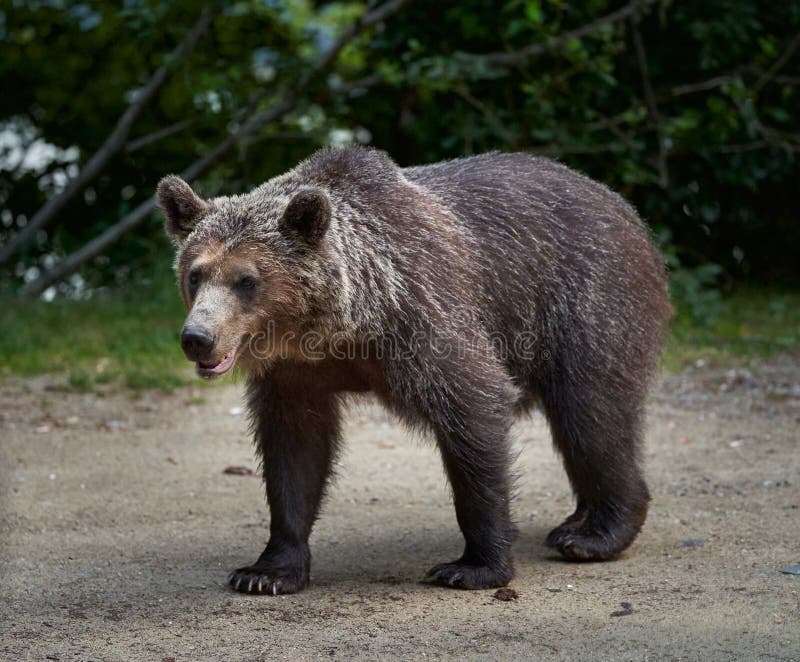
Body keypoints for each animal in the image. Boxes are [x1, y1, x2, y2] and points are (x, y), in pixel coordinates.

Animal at [157, 146, 672, 595]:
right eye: (195, 274)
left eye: (247, 280)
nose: (197, 337)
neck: (345, 325)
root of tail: (622, 206)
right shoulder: (296, 373)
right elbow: (295, 450)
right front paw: (267, 571)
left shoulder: (424, 315)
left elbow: (474, 406)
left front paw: (474, 565)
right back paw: (576, 520)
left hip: (585, 302)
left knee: (590, 412)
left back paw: (595, 534)